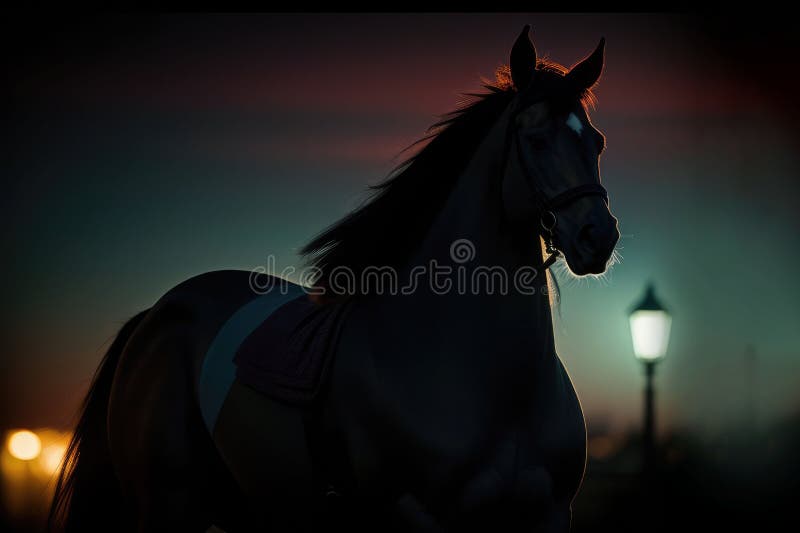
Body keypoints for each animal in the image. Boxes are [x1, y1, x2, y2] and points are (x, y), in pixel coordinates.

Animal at [50, 26, 619, 532]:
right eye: (536, 139)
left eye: (595, 141)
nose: (598, 236)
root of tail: (160, 313)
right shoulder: (416, 515)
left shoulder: (549, 516)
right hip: (168, 506)